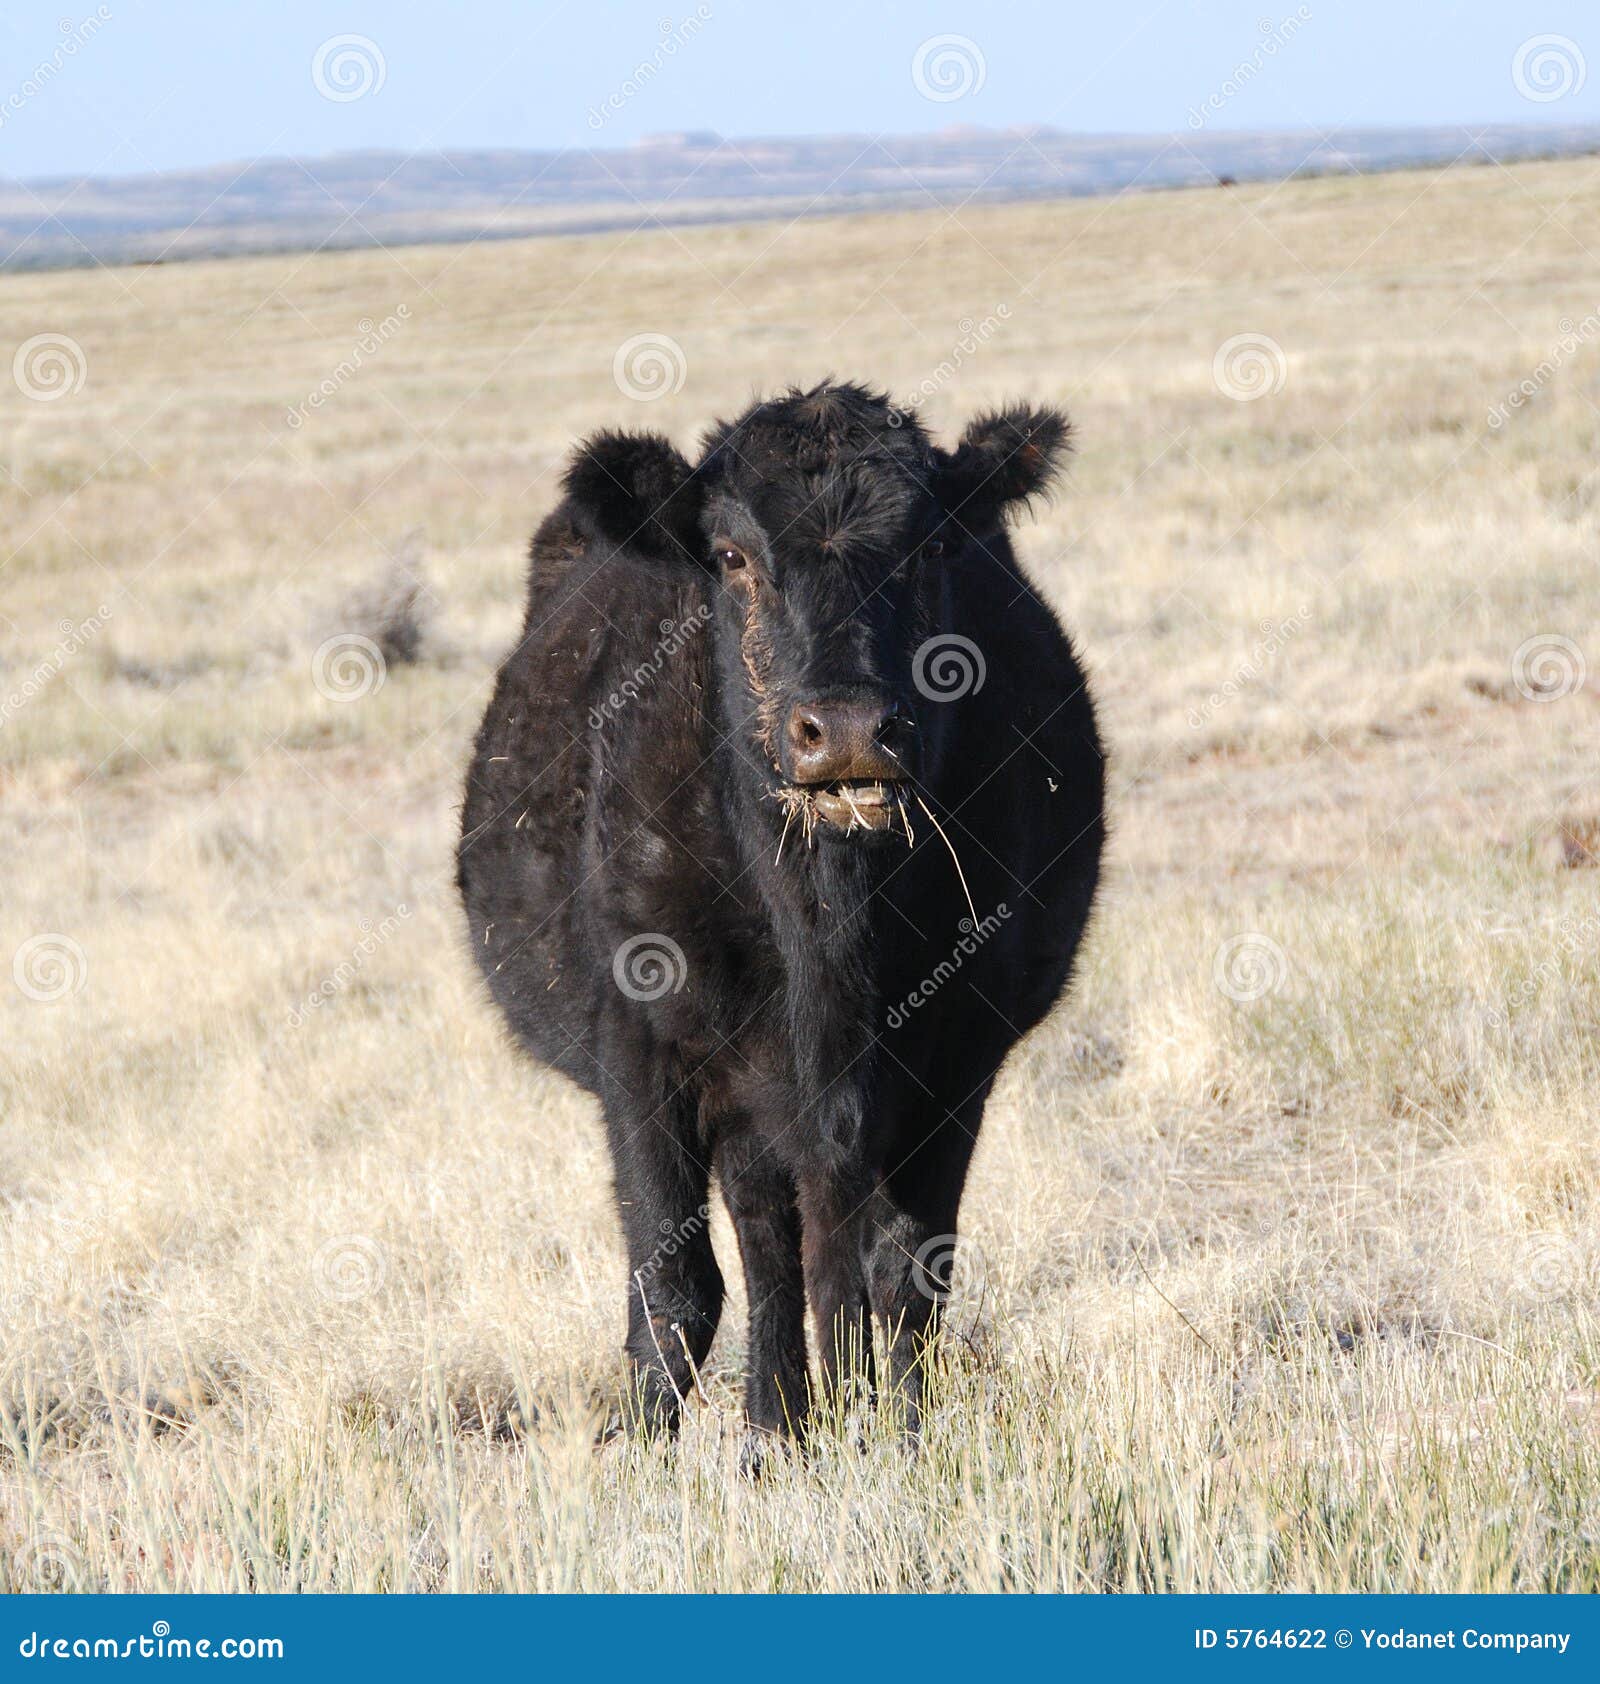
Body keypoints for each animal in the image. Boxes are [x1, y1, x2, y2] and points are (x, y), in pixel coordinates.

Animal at [457, 382, 1104, 1454]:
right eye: (730, 555)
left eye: (933, 546)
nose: (845, 730)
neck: (825, 929)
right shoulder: (641, 1053)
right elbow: (675, 1289)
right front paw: (644, 1458)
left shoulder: (959, 1056)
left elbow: (906, 1271)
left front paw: (905, 1443)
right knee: (763, 1246)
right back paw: (775, 1425)